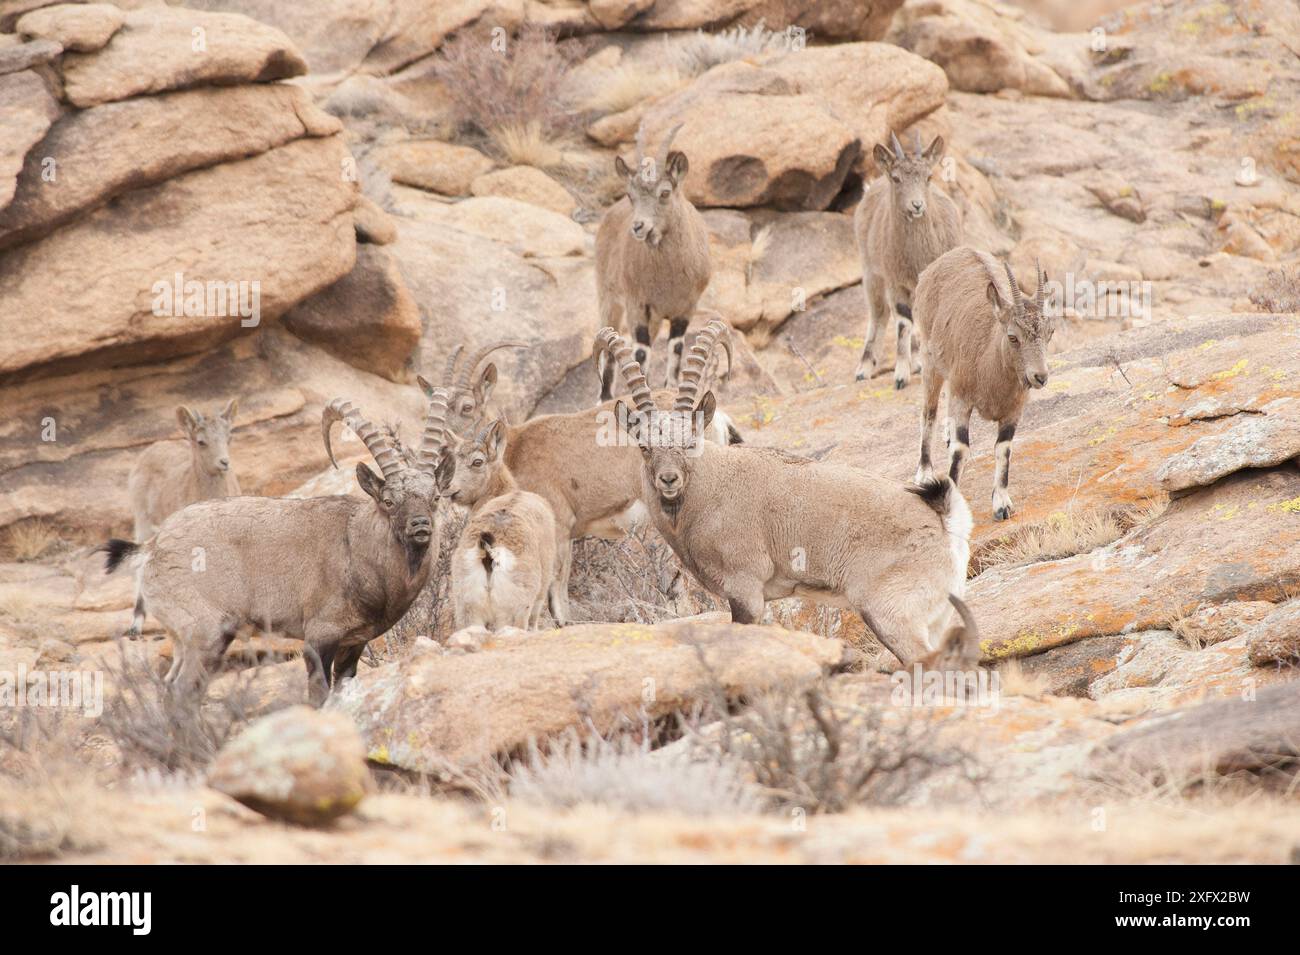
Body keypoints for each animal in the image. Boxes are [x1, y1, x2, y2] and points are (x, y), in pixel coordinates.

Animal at [123, 400, 240, 637]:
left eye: (229, 436)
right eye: (201, 441)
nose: (224, 462)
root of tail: (150, 449)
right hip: (143, 521)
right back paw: (136, 624)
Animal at [595, 122, 712, 401]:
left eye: (665, 193)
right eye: (631, 195)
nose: (638, 226)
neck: (668, 277)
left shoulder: (686, 306)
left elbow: (676, 348)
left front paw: (671, 386)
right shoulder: (638, 304)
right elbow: (641, 351)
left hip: (655, 317)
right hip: (609, 299)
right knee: (609, 347)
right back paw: (604, 397)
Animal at [605, 321, 973, 666]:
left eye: (690, 441)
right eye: (644, 446)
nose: (669, 479)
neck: (710, 487)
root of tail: (943, 519)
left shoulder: (745, 590)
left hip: (891, 614)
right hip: (936, 619)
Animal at [853, 131, 962, 389]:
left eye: (929, 176)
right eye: (896, 178)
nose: (917, 205)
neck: (917, 257)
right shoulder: (896, 282)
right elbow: (903, 321)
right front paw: (900, 376)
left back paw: (916, 362)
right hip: (871, 272)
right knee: (880, 314)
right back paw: (864, 369)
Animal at [913, 247, 1054, 522]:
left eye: (1050, 333)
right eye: (1013, 337)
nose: (1040, 377)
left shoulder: (1014, 409)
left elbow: (1003, 449)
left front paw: (1002, 504)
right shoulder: (962, 398)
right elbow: (961, 450)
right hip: (929, 359)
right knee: (928, 412)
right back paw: (924, 471)